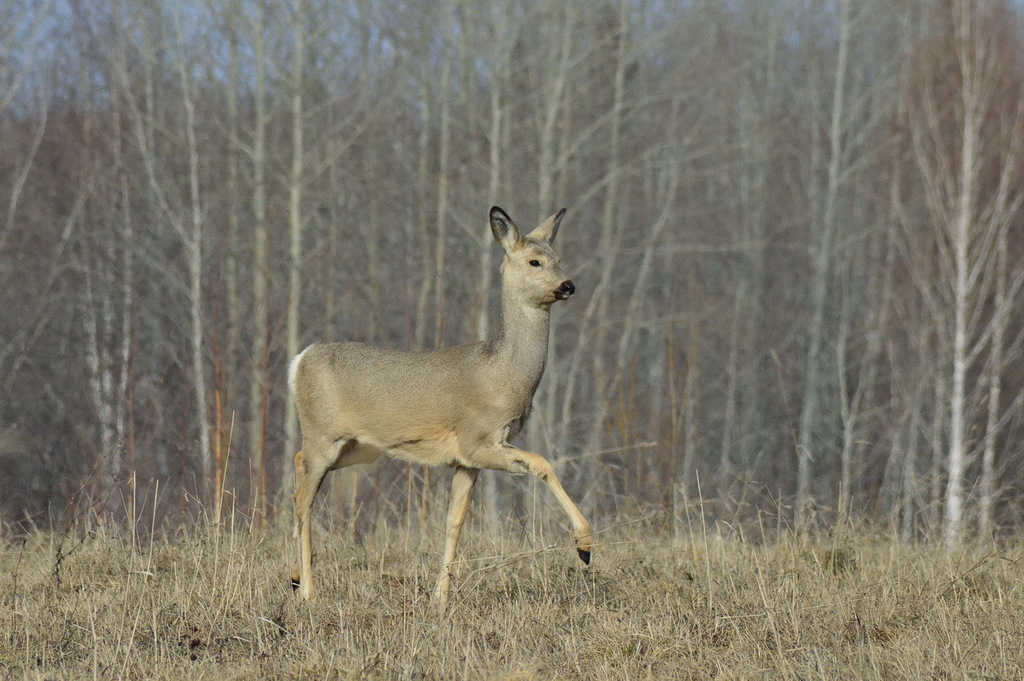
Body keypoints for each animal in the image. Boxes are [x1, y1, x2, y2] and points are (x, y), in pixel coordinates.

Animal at [289, 205, 592, 606]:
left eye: (558, 258)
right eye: (535, 261)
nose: (568, 285)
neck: (502, 372)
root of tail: (300, 360)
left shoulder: (468, 460)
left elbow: (455, 521)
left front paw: (440, 596)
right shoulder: (476, 439)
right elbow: (543, 465)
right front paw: (584, 545)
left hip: (357, 448)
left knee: (297, 469)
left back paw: (295, 576)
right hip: (323, 435)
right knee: (304, 499)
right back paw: (307, 591)